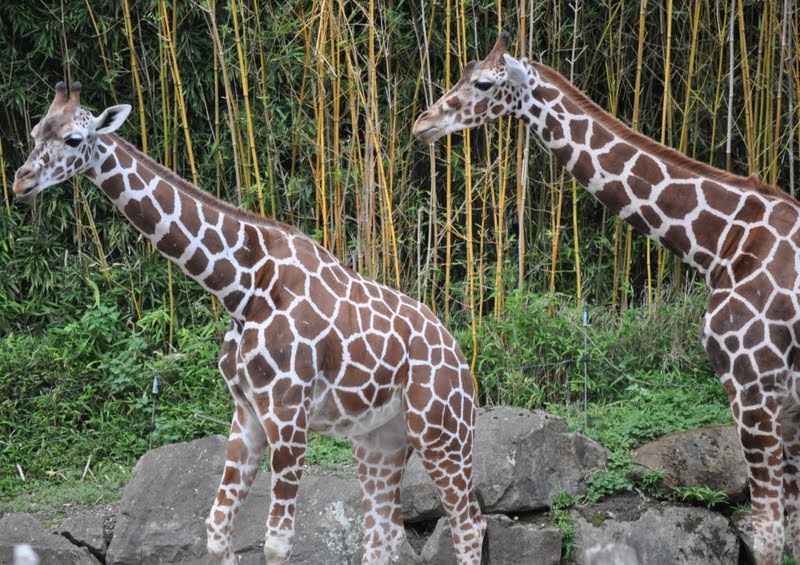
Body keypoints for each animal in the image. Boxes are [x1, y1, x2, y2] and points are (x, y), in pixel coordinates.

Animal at [13, 81, 487, 564]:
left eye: (74, 139)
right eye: (34, 132)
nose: (21, 181)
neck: (241, 289)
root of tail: (461, 360)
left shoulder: (288, 414)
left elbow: (277, 542)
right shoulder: (247, 415)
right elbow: (217, 528)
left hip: (442, 430)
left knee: (468, 523)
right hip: (379, 439)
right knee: (384, 532)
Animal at [414, 31, 800, 564]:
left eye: (484, 83)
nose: (422, 124)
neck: (723, 242)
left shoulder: (754, 382)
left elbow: (767, 535)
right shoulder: (786, 400)